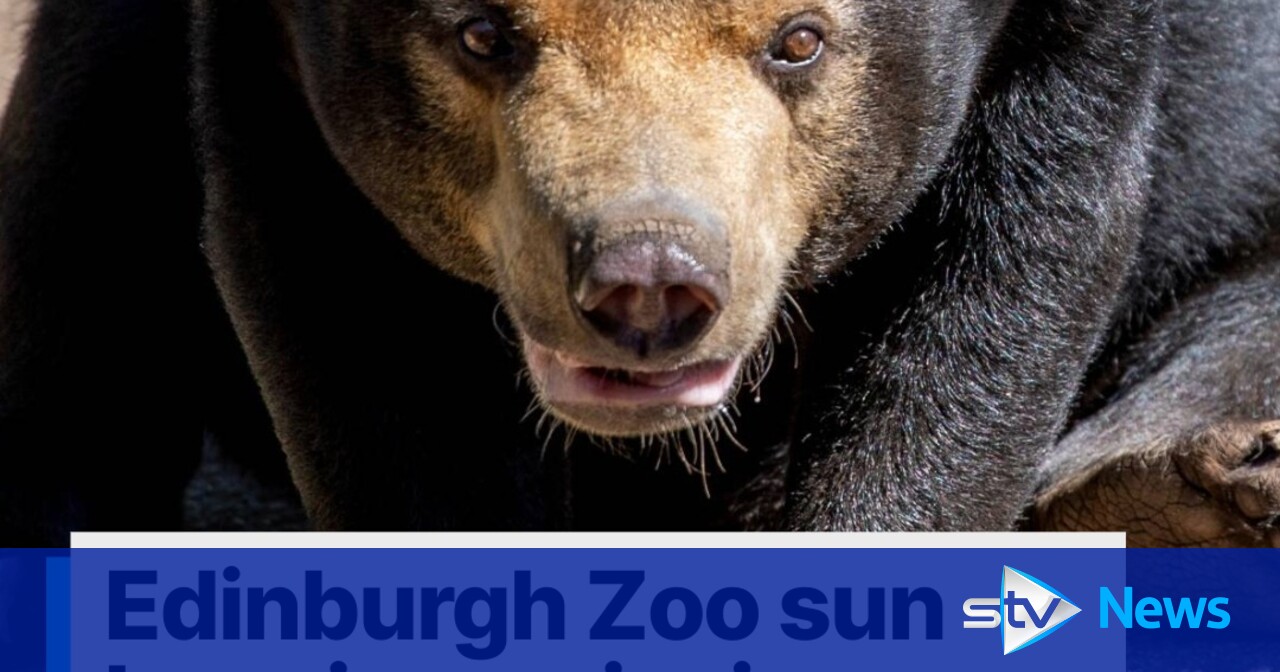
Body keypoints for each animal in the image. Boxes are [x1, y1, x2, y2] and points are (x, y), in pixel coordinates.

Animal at [0, 0, 1278, 546]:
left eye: (797, 40)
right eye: (483, 34)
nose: (649, 282)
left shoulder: (1076, 40)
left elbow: (990, 290)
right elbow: (344, 313)